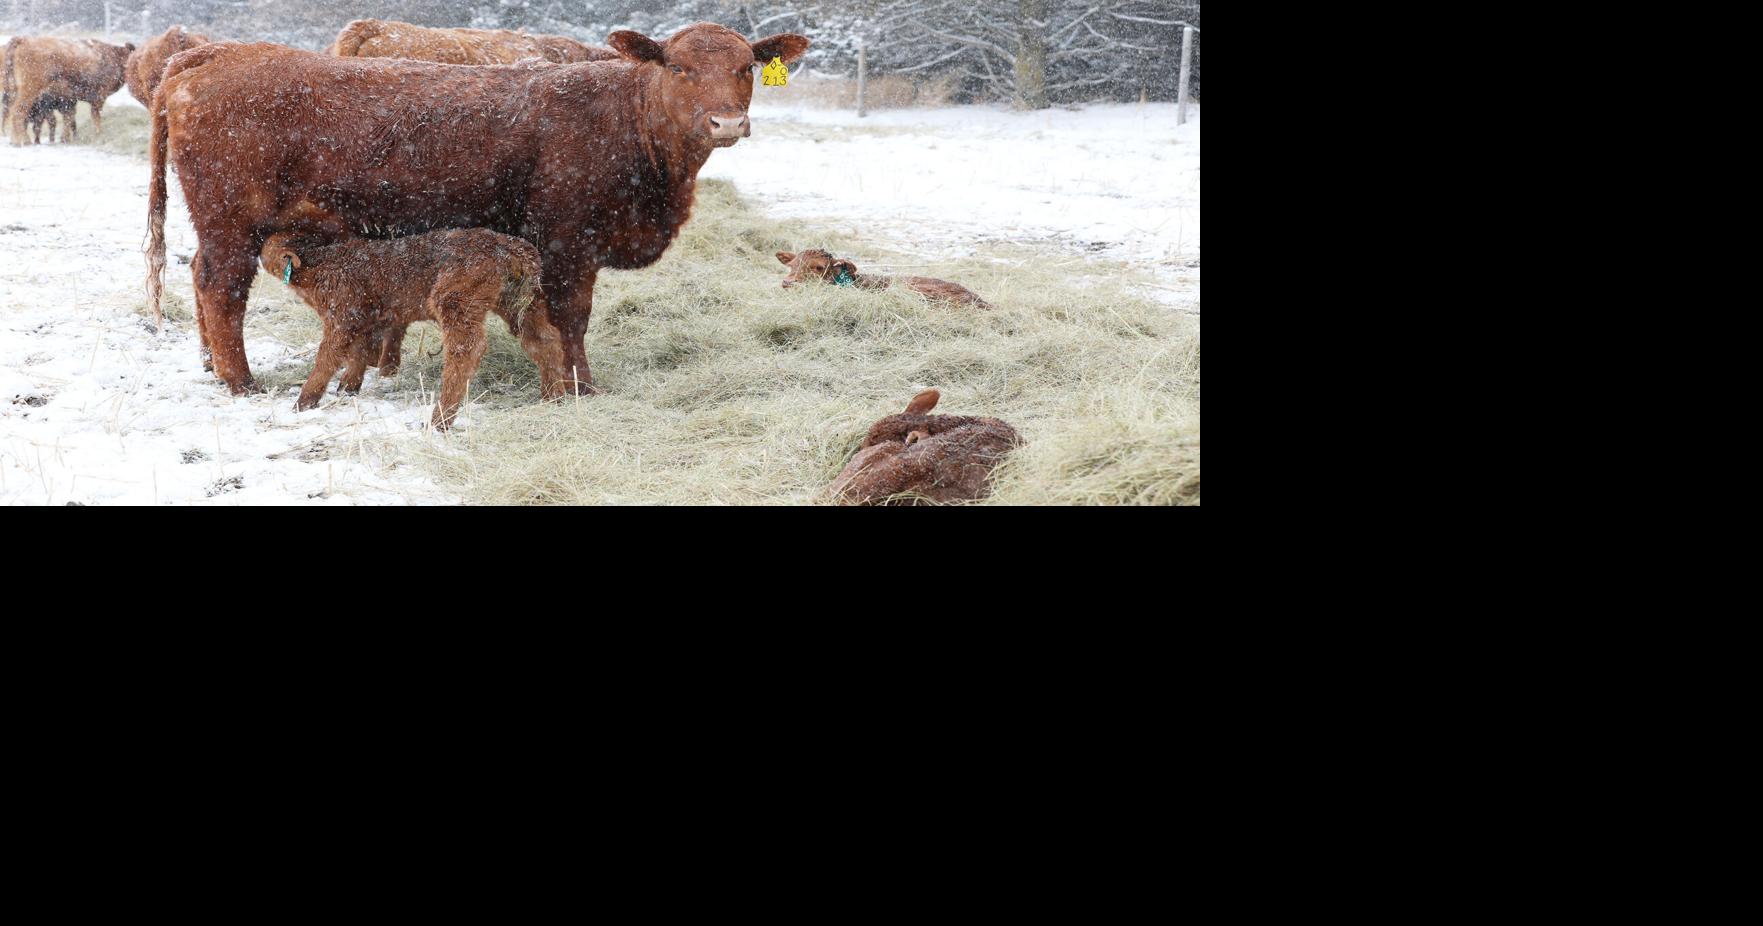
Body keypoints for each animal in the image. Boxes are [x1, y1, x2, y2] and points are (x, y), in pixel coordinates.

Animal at [147, 23, 811, 399]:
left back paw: (212, 367)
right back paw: (240, 382)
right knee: (220, 287)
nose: (726, 122)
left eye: (746, 67)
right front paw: (581, 386)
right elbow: (571, 320)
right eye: (677, 66)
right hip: (233, 221)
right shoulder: (569, 244)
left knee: (200, 277)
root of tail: (214, 55)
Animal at [262, 229, 541, 430]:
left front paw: (304, 402)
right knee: (542, 337)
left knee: (467, 350)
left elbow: (327, 357)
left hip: (456, 300)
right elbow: (359, 351)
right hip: (513, 301)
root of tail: (506, 243)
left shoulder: (342, 316)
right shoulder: (366, 317)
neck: (319, 265)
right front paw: (348, 388)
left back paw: (439, 420)